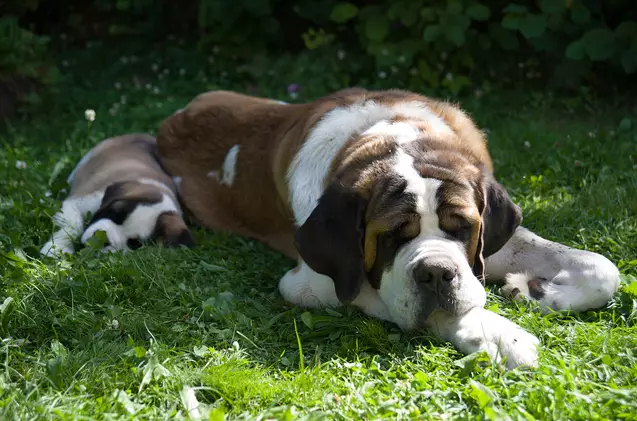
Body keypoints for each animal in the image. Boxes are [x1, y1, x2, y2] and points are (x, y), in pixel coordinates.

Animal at [39, 133, 193, 256]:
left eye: (134, 243)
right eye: (114, 213)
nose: (101, 239)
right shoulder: (77, 202)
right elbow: (73, 224)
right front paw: (58, 248)